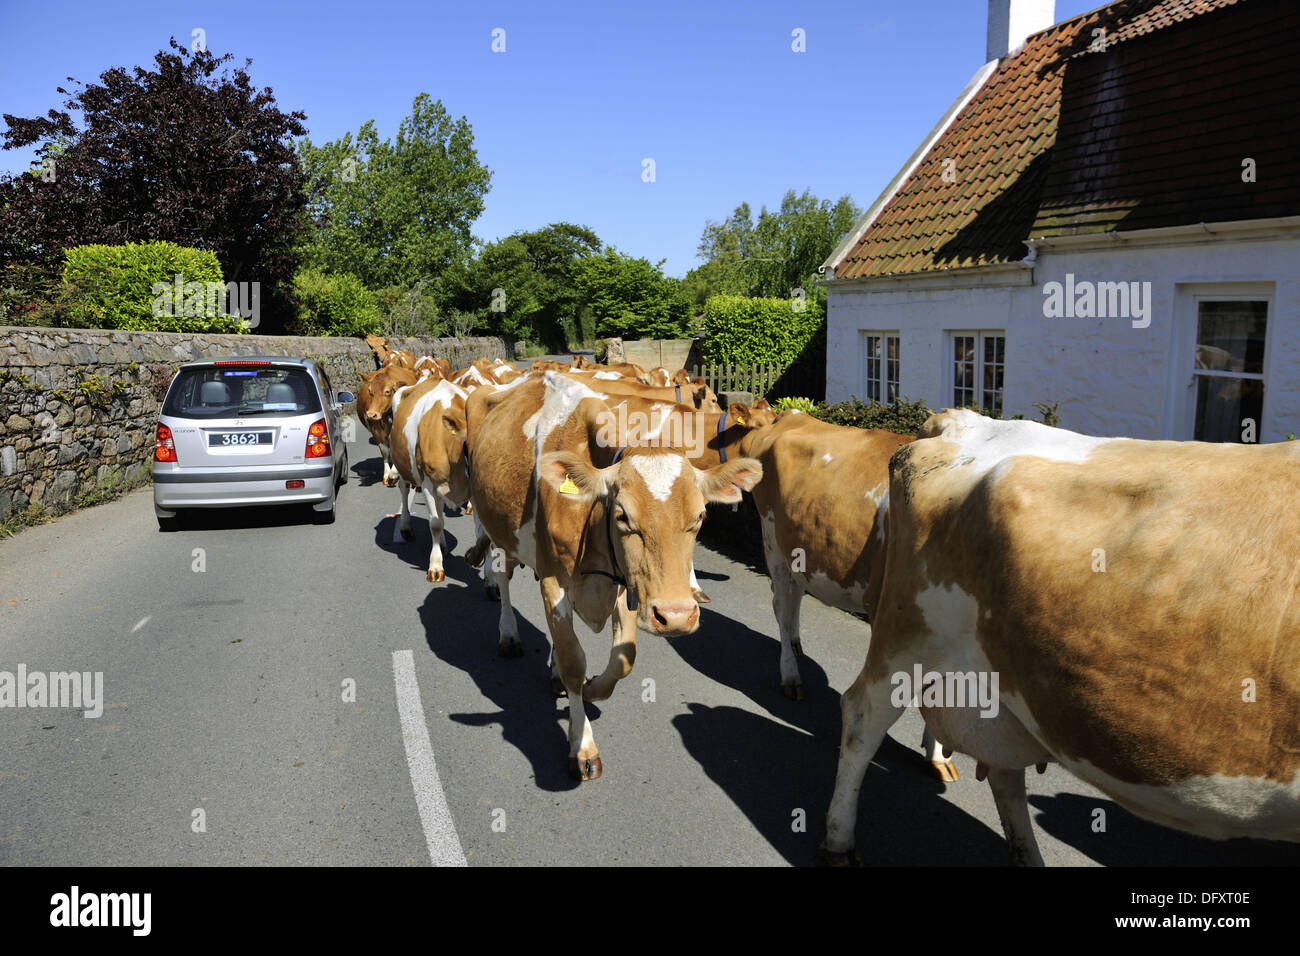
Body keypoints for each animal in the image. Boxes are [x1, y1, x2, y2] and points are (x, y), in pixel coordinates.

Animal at [464, 370, 763, 780]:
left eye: (700, 516)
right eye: (622, 516)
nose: (677, 616)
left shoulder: (628, 584)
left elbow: (623, 659)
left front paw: (591, 690)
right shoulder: (554, 580)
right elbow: (574, 661)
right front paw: (582, 746)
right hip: (500, 531)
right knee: (503, 577)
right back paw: (508, 634)